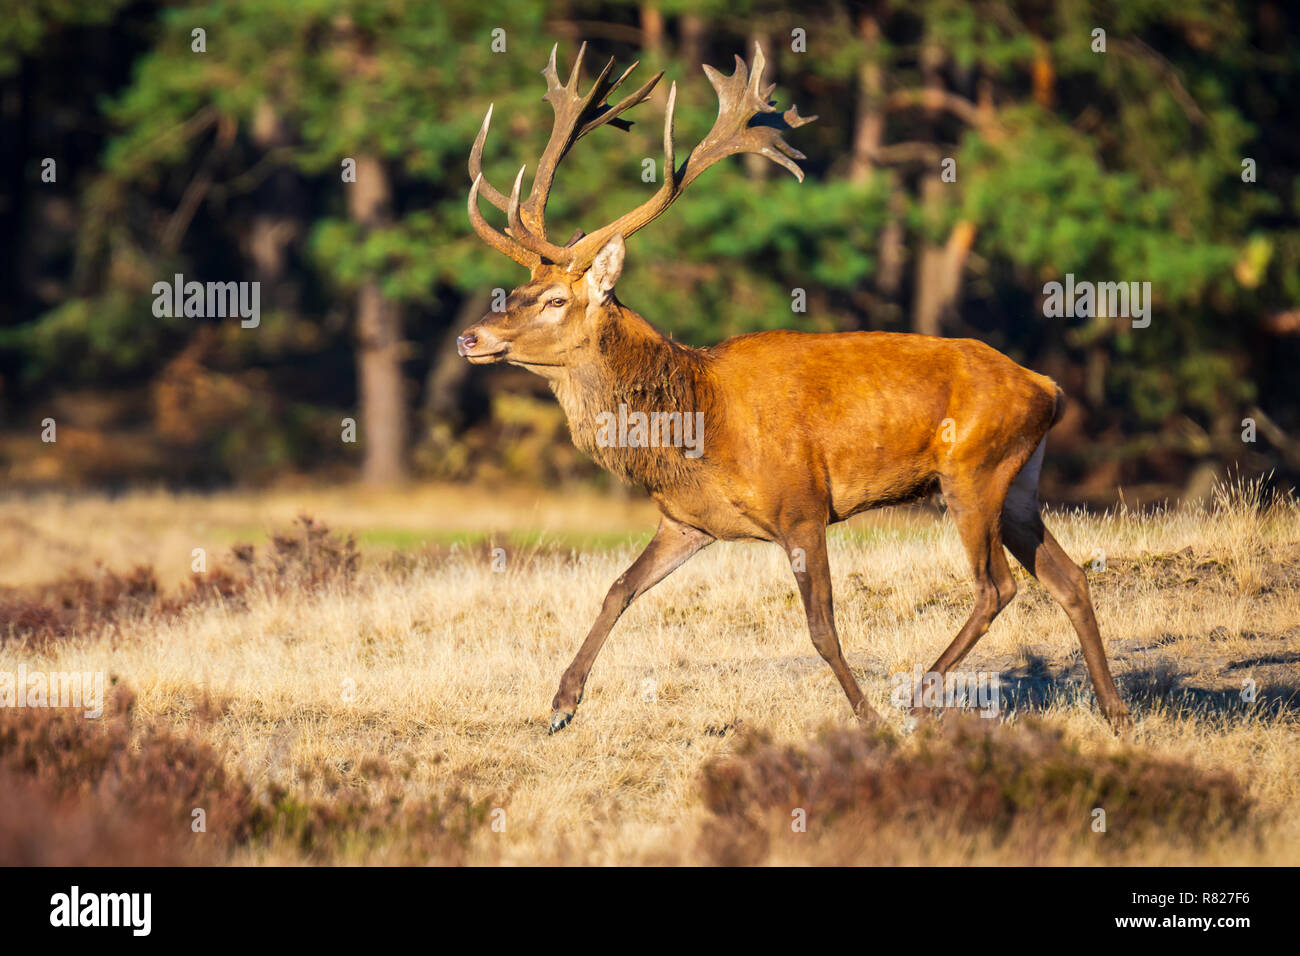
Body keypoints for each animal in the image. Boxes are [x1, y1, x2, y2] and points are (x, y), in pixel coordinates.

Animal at [458, 42, 1133, 736]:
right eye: (518, 291)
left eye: (554, 299)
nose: (469, 338)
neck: (696, 429)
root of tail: (1048, 387)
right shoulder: (688, 521)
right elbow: (618, 588)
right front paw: (561, 705)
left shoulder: (803, 509)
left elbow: (821, 628)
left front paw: (866, 716)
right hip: (1017, 481)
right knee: (1069, 578)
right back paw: (1116, 711)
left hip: (972, 471)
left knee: (996, 586)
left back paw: (918, 701)